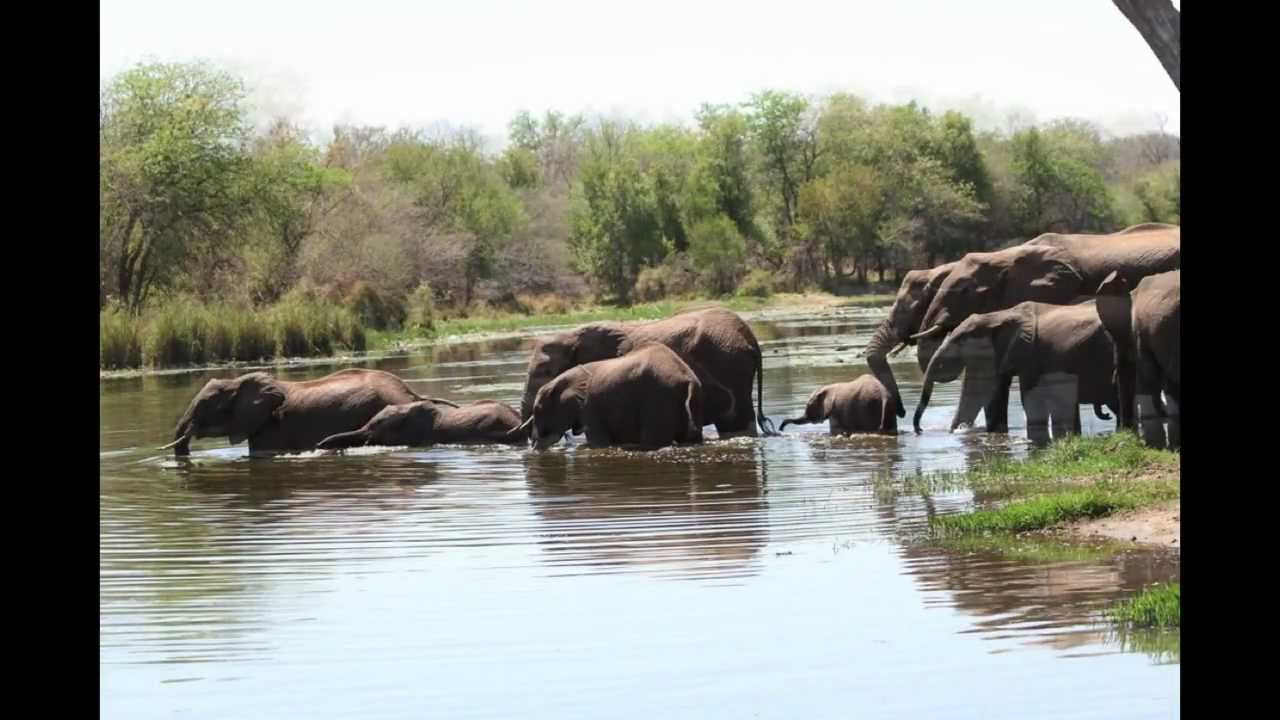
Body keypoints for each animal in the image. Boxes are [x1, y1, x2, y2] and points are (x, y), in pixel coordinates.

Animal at [514, 343, 706, 451]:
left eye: (538, 409)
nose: (534, 447)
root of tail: (687, 379)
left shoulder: (590, 407)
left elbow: (598, 442)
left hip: (659, 399)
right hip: (690, 401)